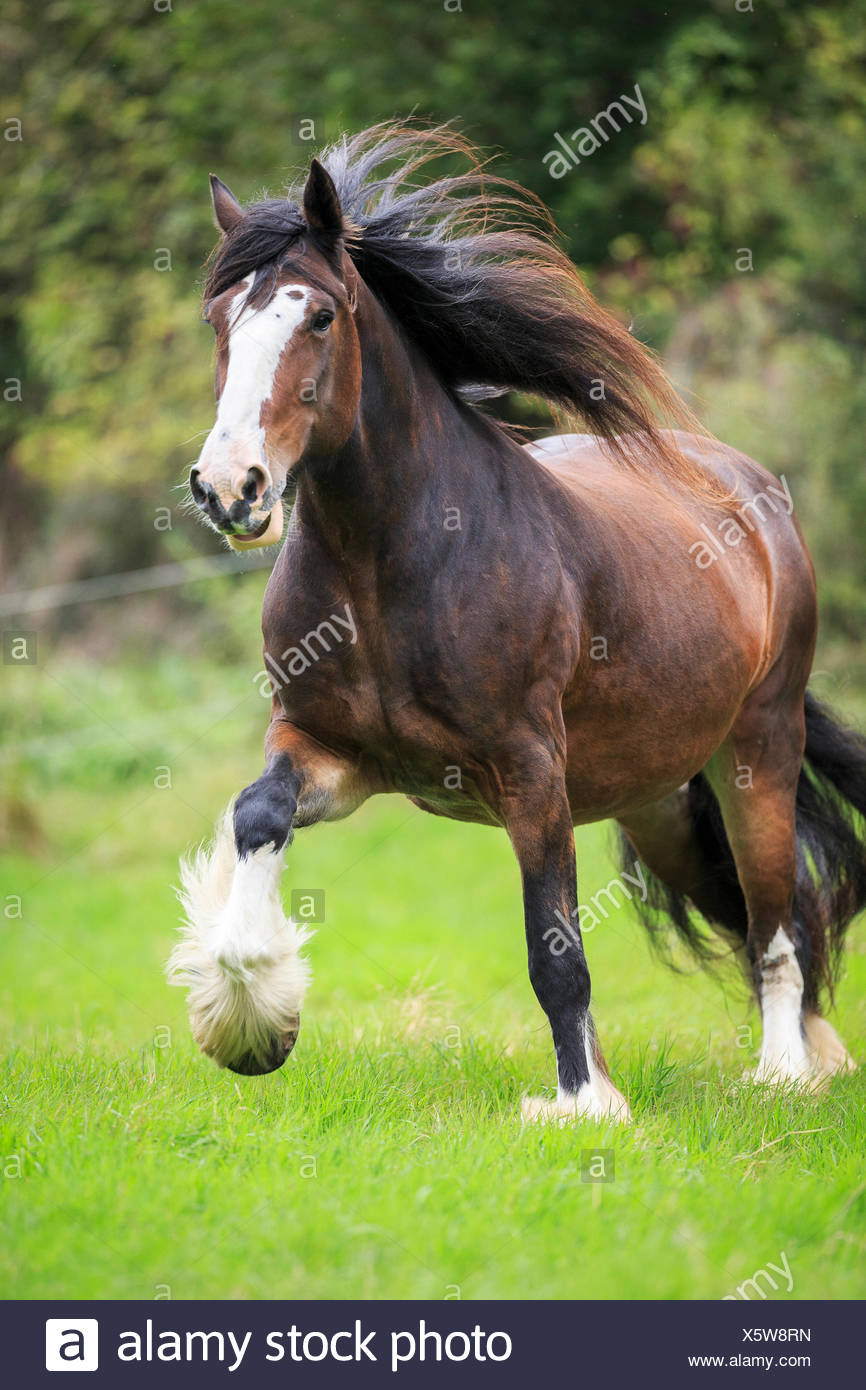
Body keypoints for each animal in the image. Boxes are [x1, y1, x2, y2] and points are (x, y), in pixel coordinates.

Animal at [168, 123, 865, 1122]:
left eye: (319, 318)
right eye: (219, 321)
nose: (231, 490)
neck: (390, 570)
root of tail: (754, 492)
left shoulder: (530, 775)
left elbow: (555, 950)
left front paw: (584, 1105)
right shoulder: (328, 752)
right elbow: (256, 811)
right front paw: (251, 1021)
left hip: (756, 753)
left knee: (777, 919)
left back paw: (782, 1073)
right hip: (658, 802)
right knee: (765, 912)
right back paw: (809, 1053)